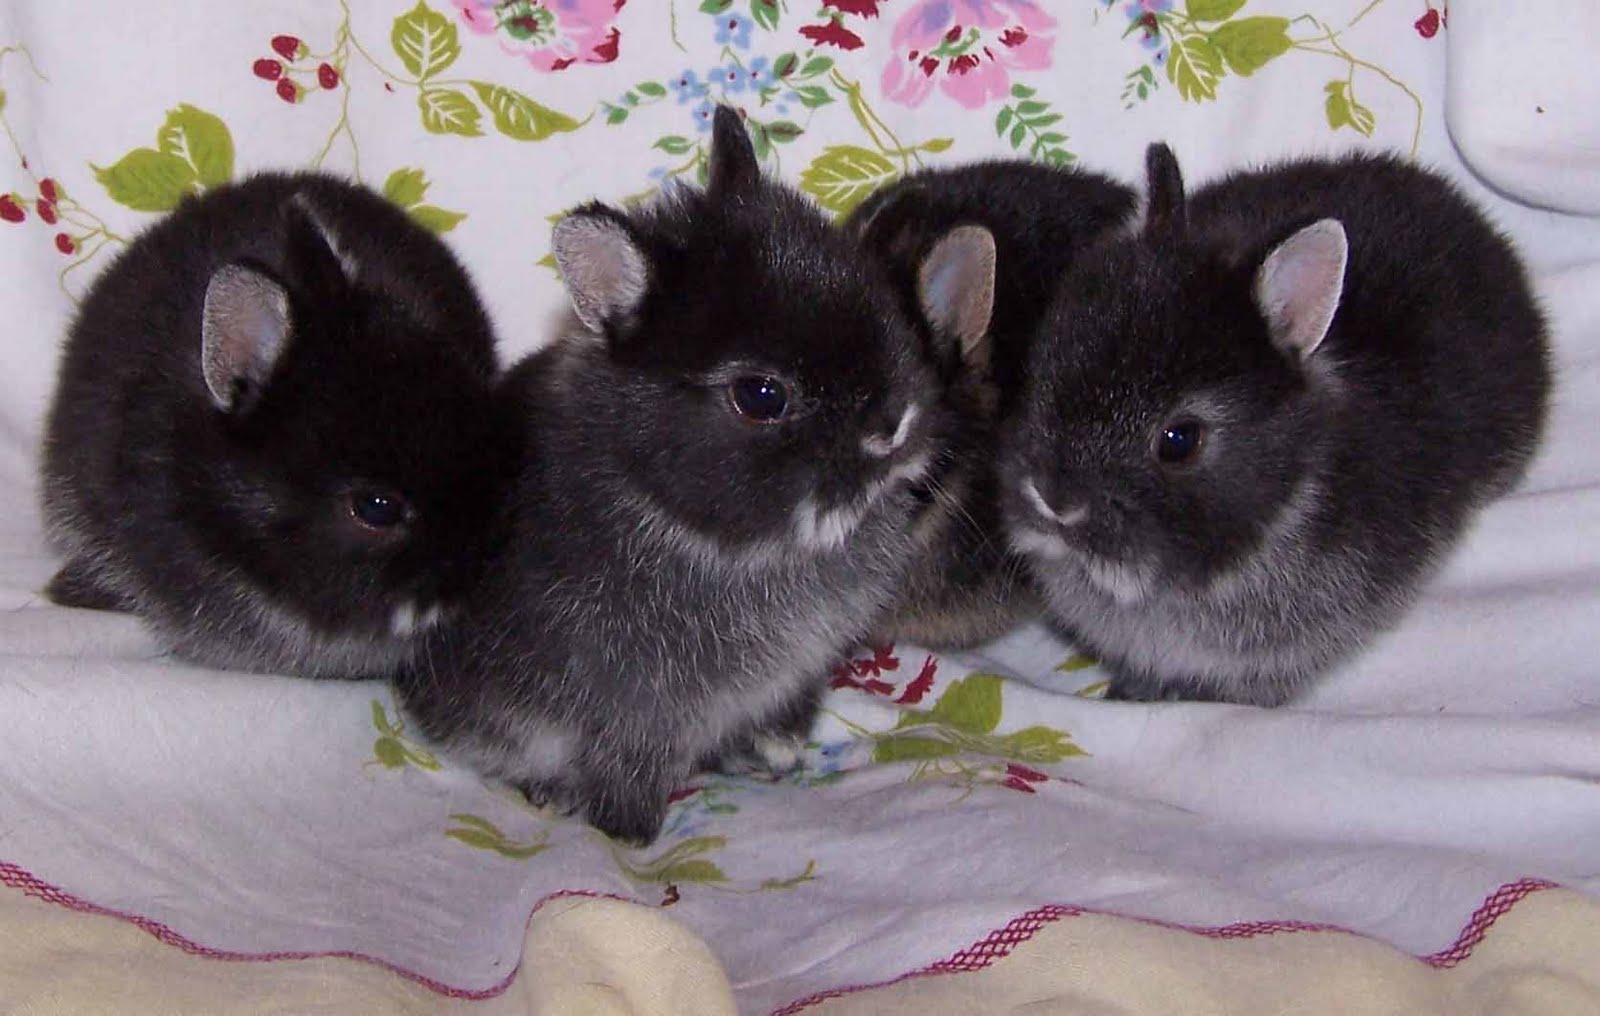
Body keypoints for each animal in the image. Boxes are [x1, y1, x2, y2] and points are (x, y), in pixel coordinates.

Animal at [392, 107, 994, 844]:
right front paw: (630, 836)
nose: (895, 426)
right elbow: (629, 772)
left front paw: (780, 751)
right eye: (761, 396)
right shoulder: (636, 711)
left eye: (877, 297)